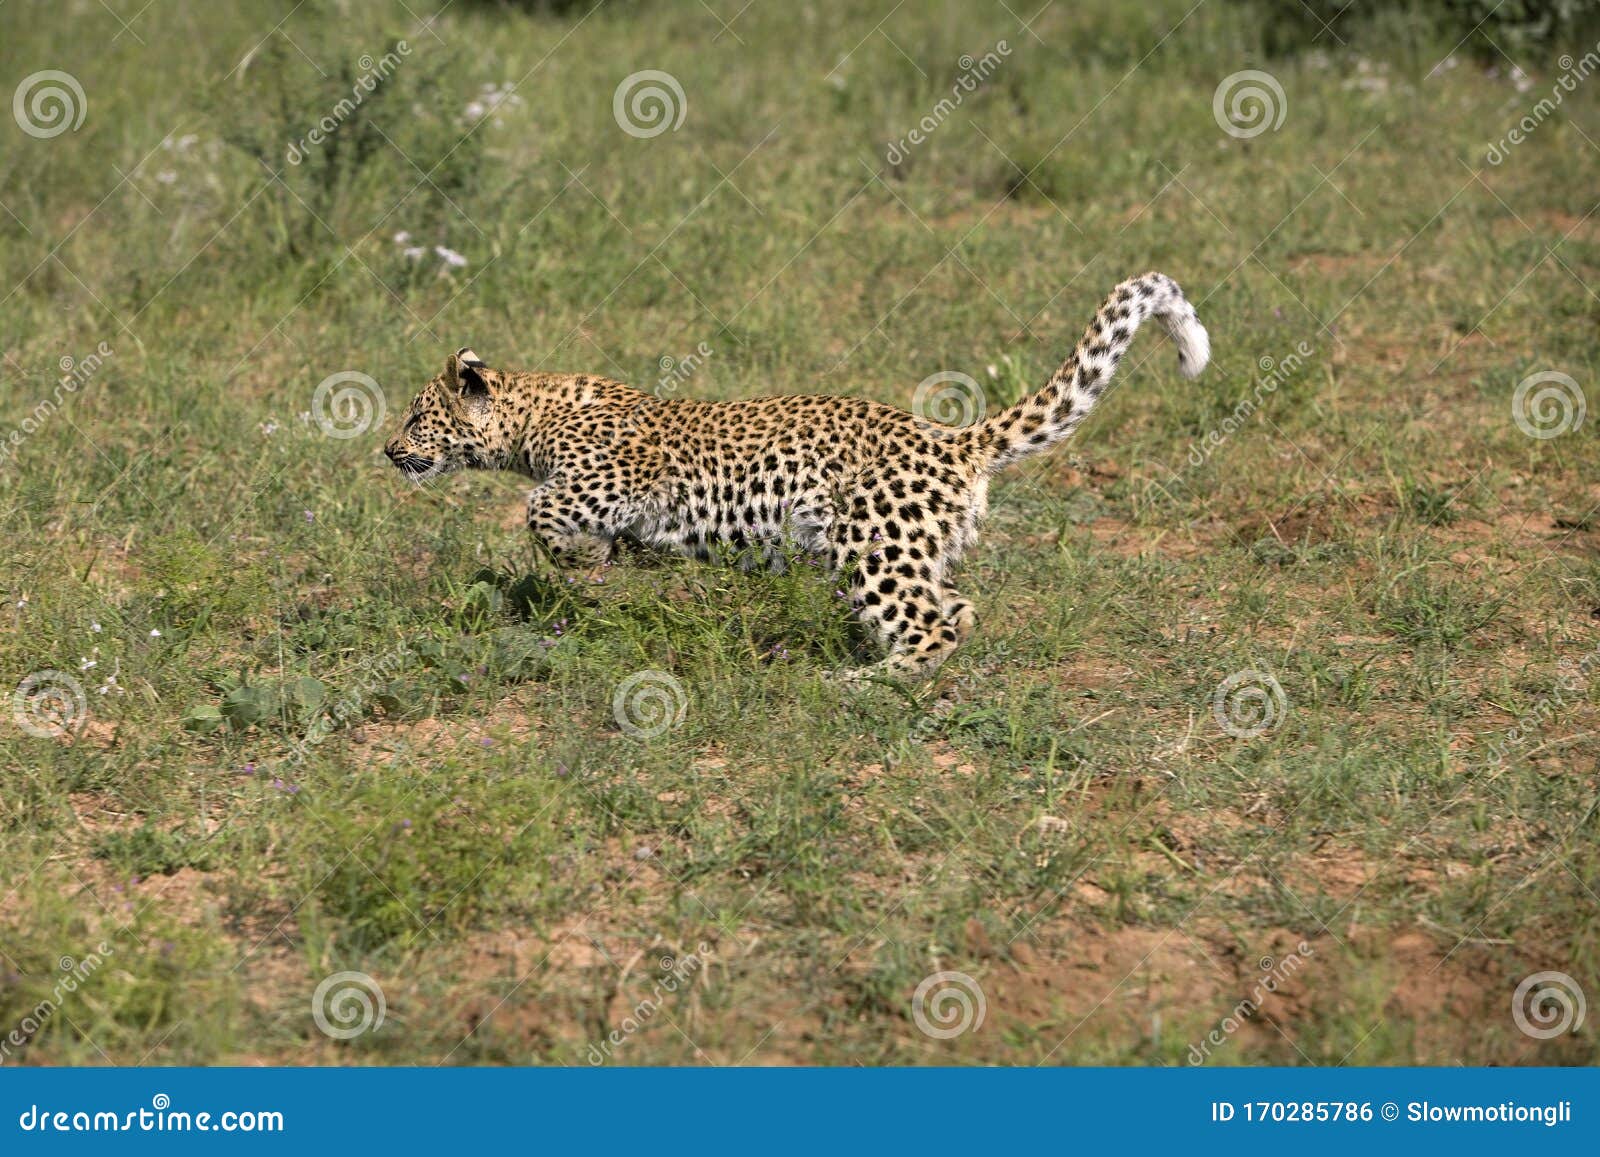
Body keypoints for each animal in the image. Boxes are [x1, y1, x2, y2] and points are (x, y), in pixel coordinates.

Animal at [383, 270, 1210, 682]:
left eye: (418, 416)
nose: (389, 451)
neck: (530, 419)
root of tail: (955, 437)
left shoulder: (615, 478)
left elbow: (539, 510)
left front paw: (577, 559)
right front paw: (603, 562)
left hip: (872, 546)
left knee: (928, 626)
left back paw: (864, 683)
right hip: (914, 550)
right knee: (959, 611)